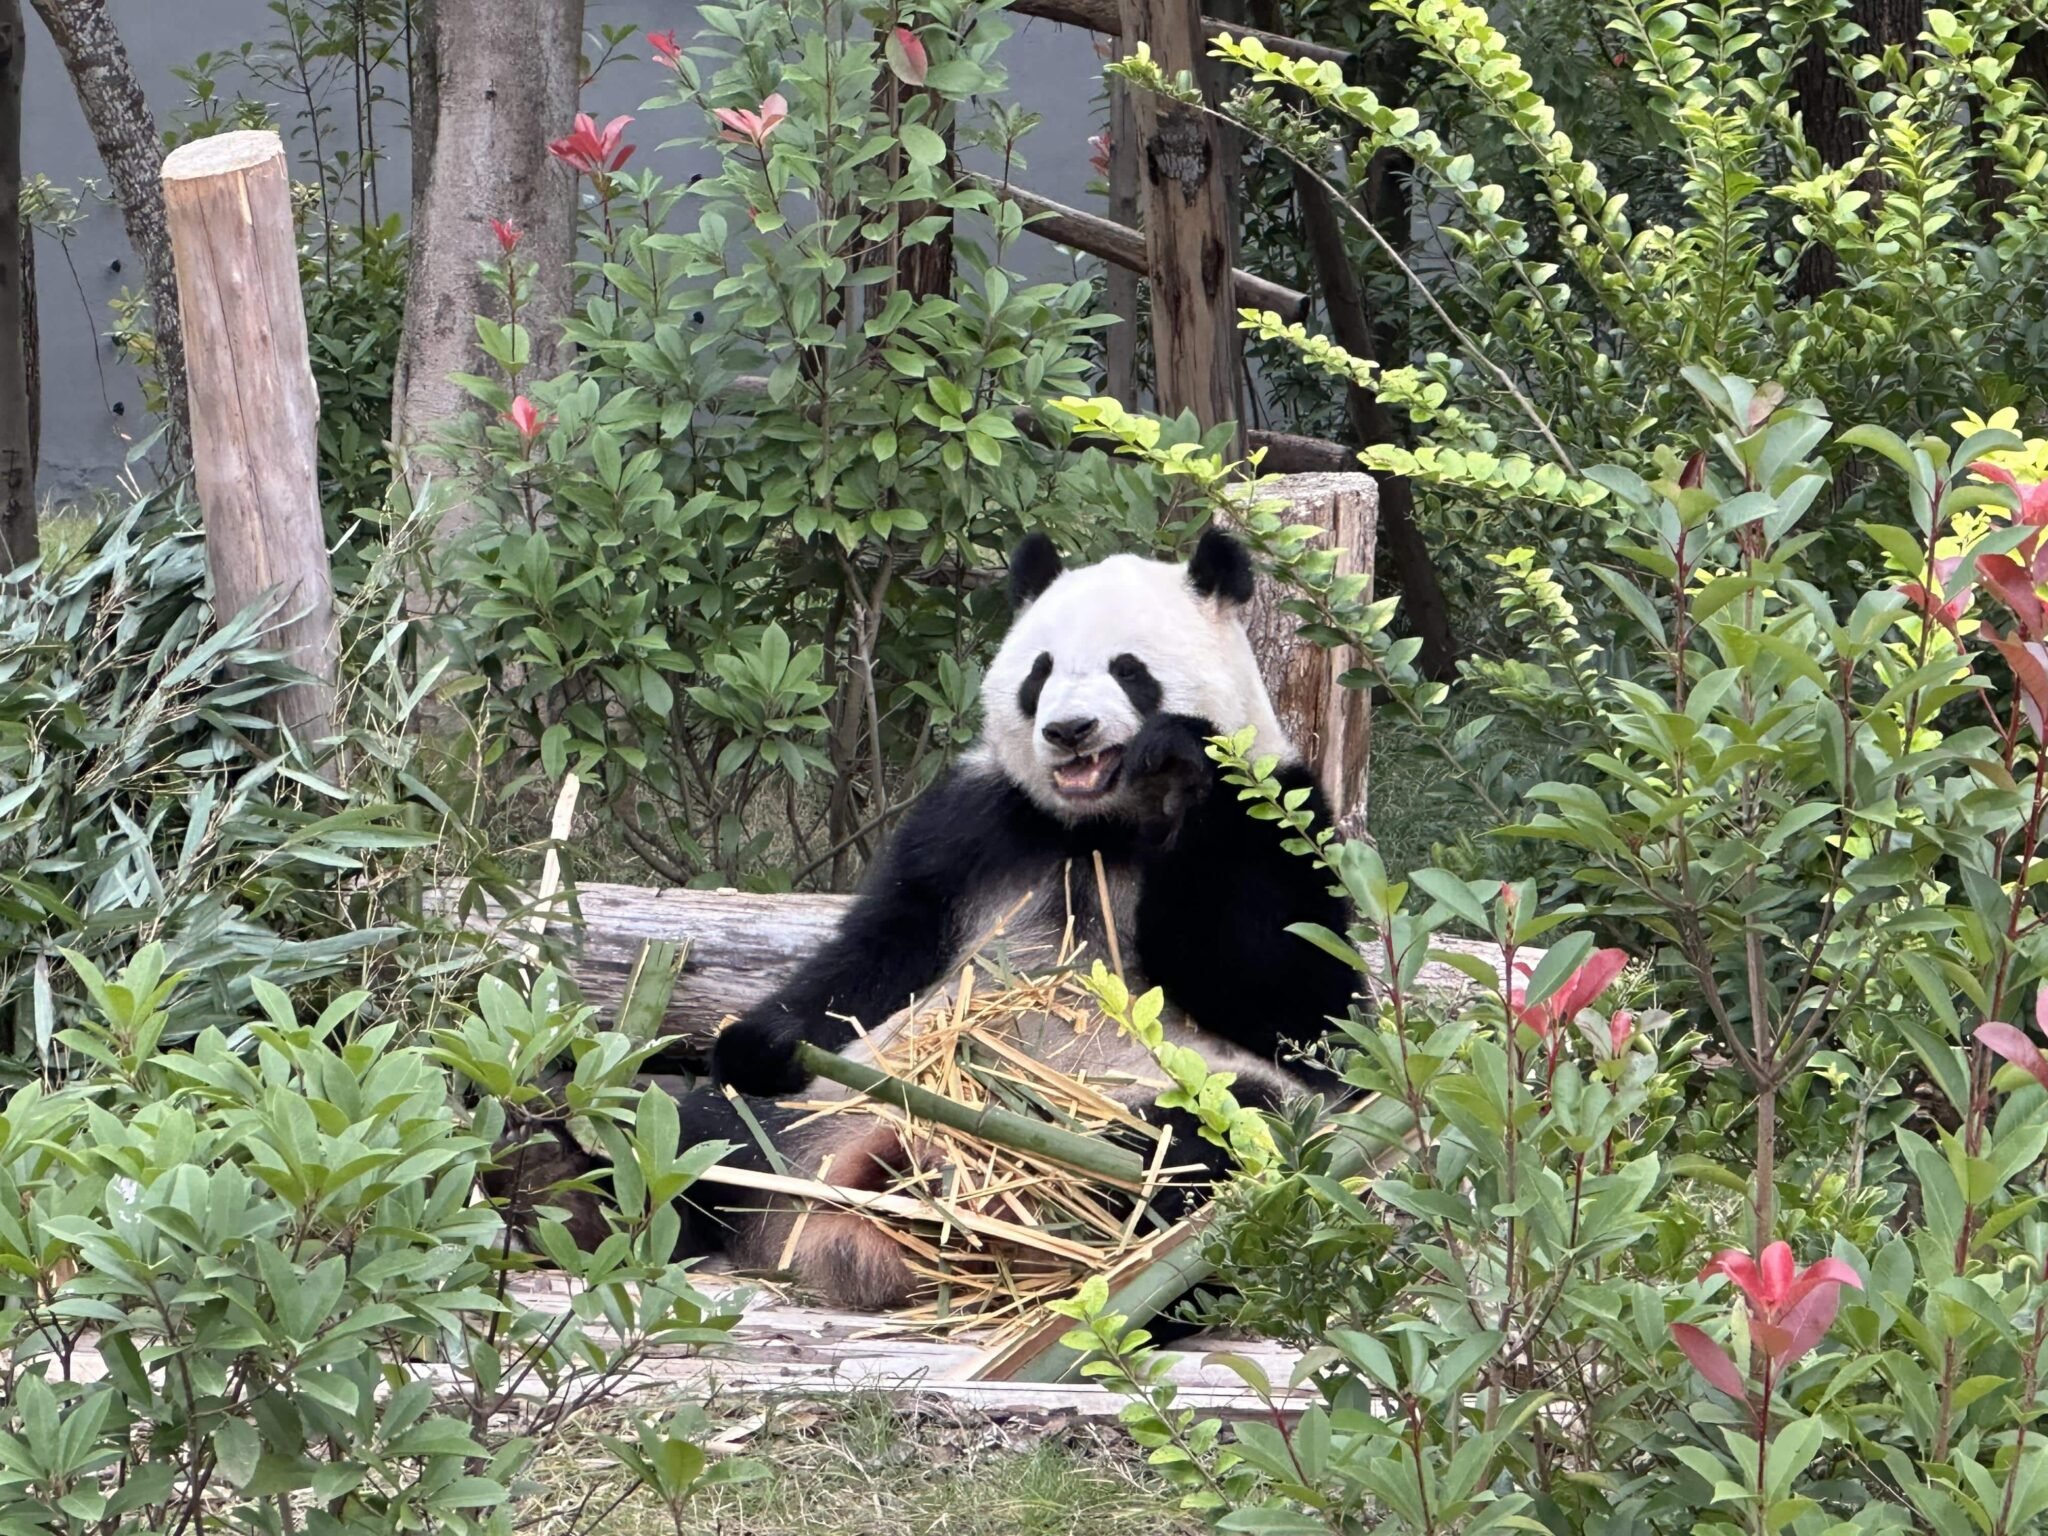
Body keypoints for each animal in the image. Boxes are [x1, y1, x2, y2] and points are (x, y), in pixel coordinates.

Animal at [663, 524, 1361, 1310]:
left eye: (1130, 670)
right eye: (1040, 671)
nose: (1069, 730)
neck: (1097, 825)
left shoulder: (1278, 814)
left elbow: (1293, 999)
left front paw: (1179, 763)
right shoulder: (974, 824)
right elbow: (881, 948)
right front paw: (762, 1040)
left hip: (1179, 1100)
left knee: (1200, 1143)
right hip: (838, 1098)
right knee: (700, 1128)